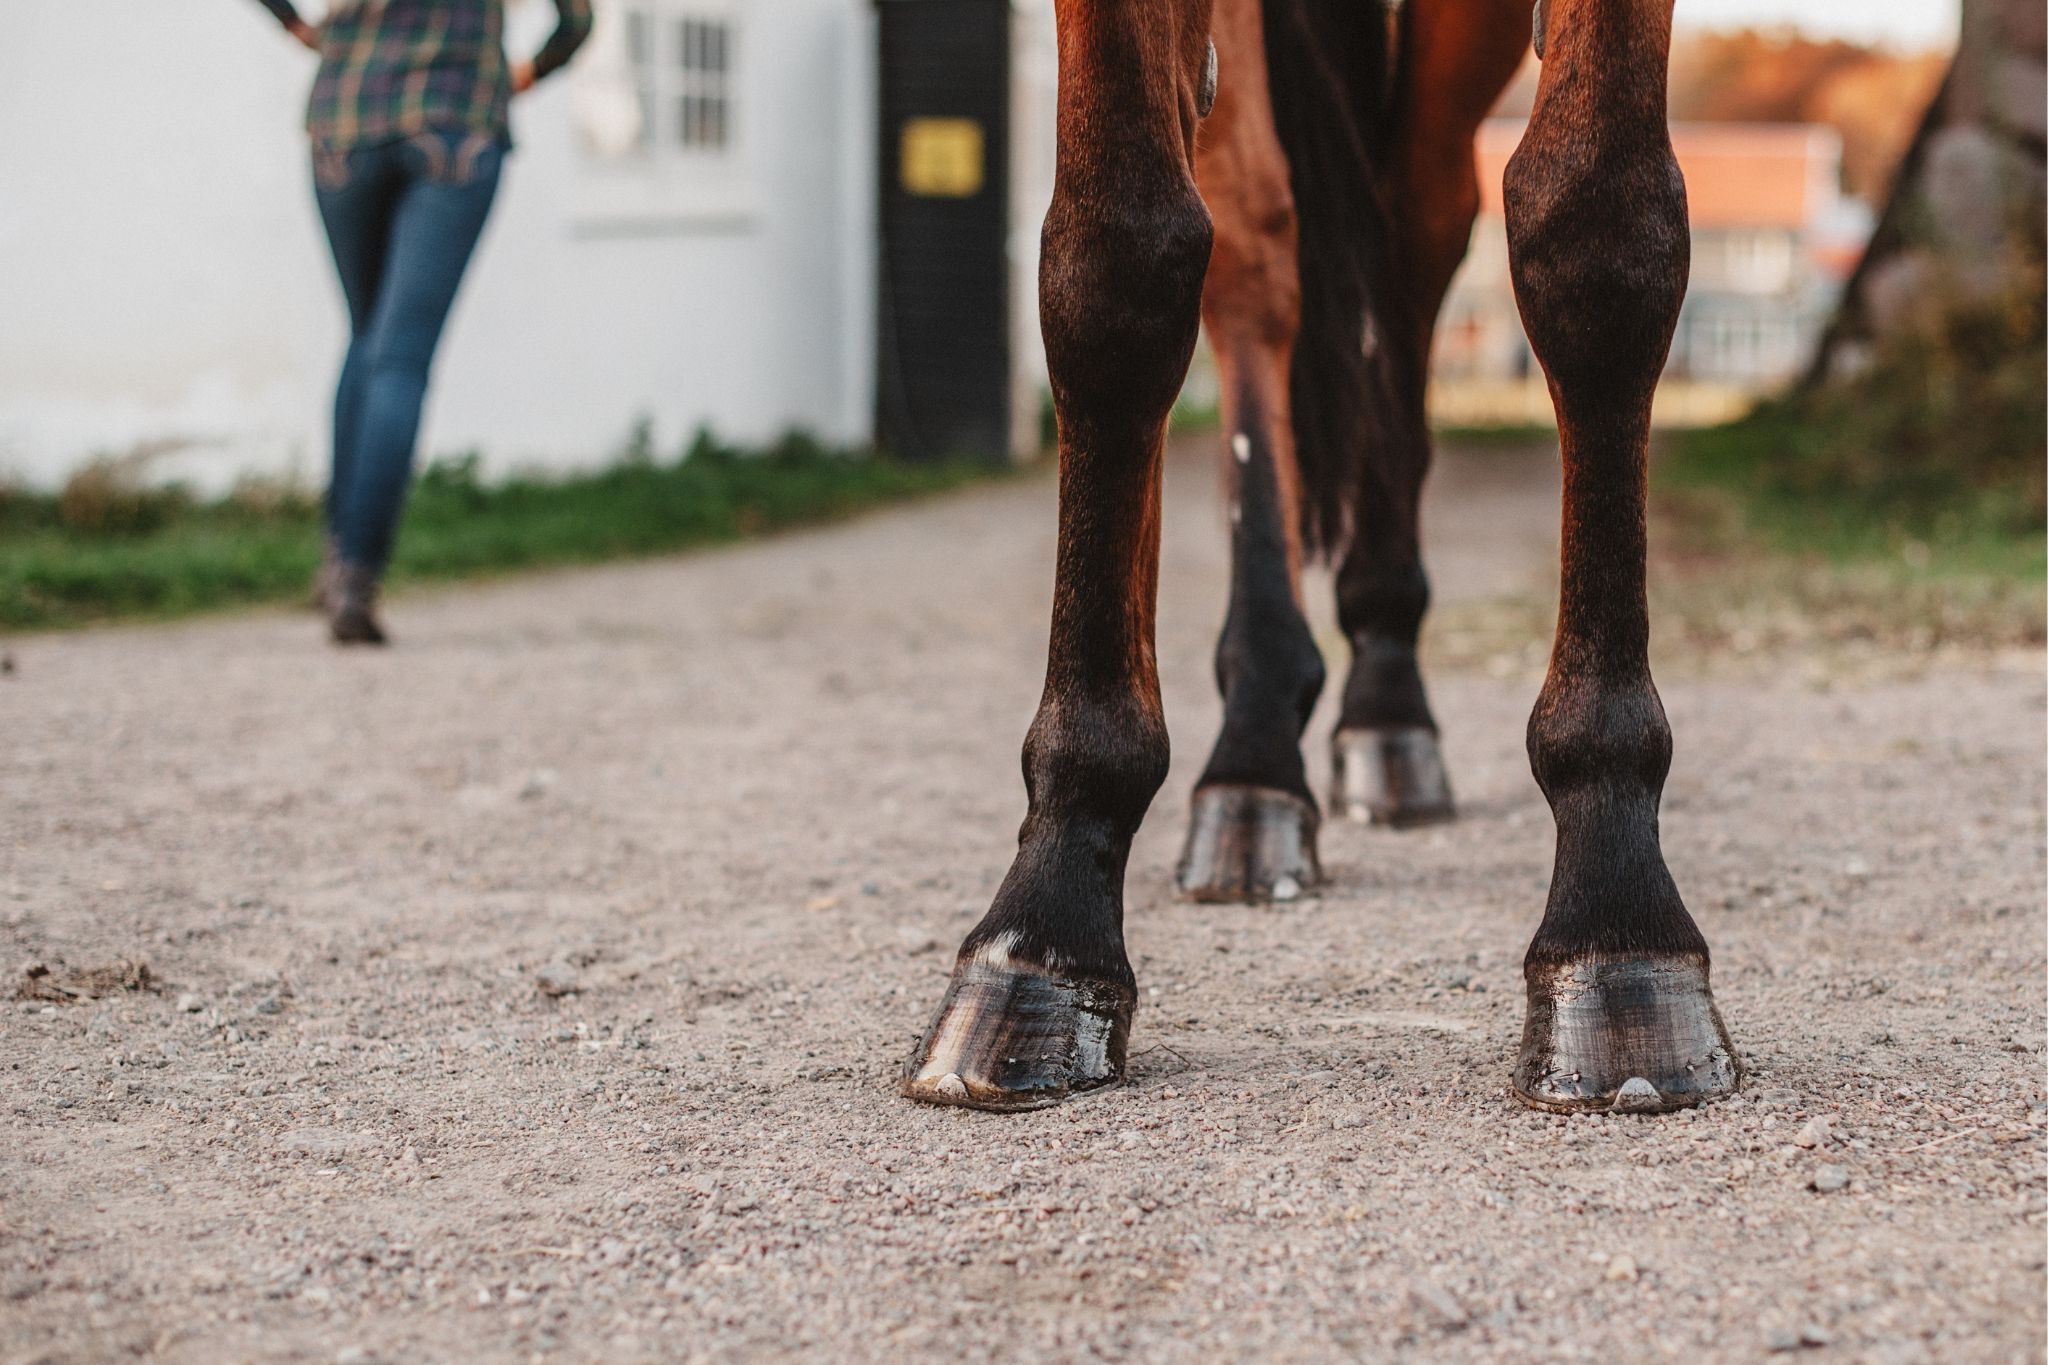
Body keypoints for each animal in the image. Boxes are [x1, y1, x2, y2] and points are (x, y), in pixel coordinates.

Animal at [901, 0, 1742, 1116]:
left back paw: (1384, 700)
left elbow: (1596, 226)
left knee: (1415, 226)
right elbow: (1113, 260)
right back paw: (1254, 756)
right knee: (1258, 256)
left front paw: (1614, 908)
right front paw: (1045, 918)